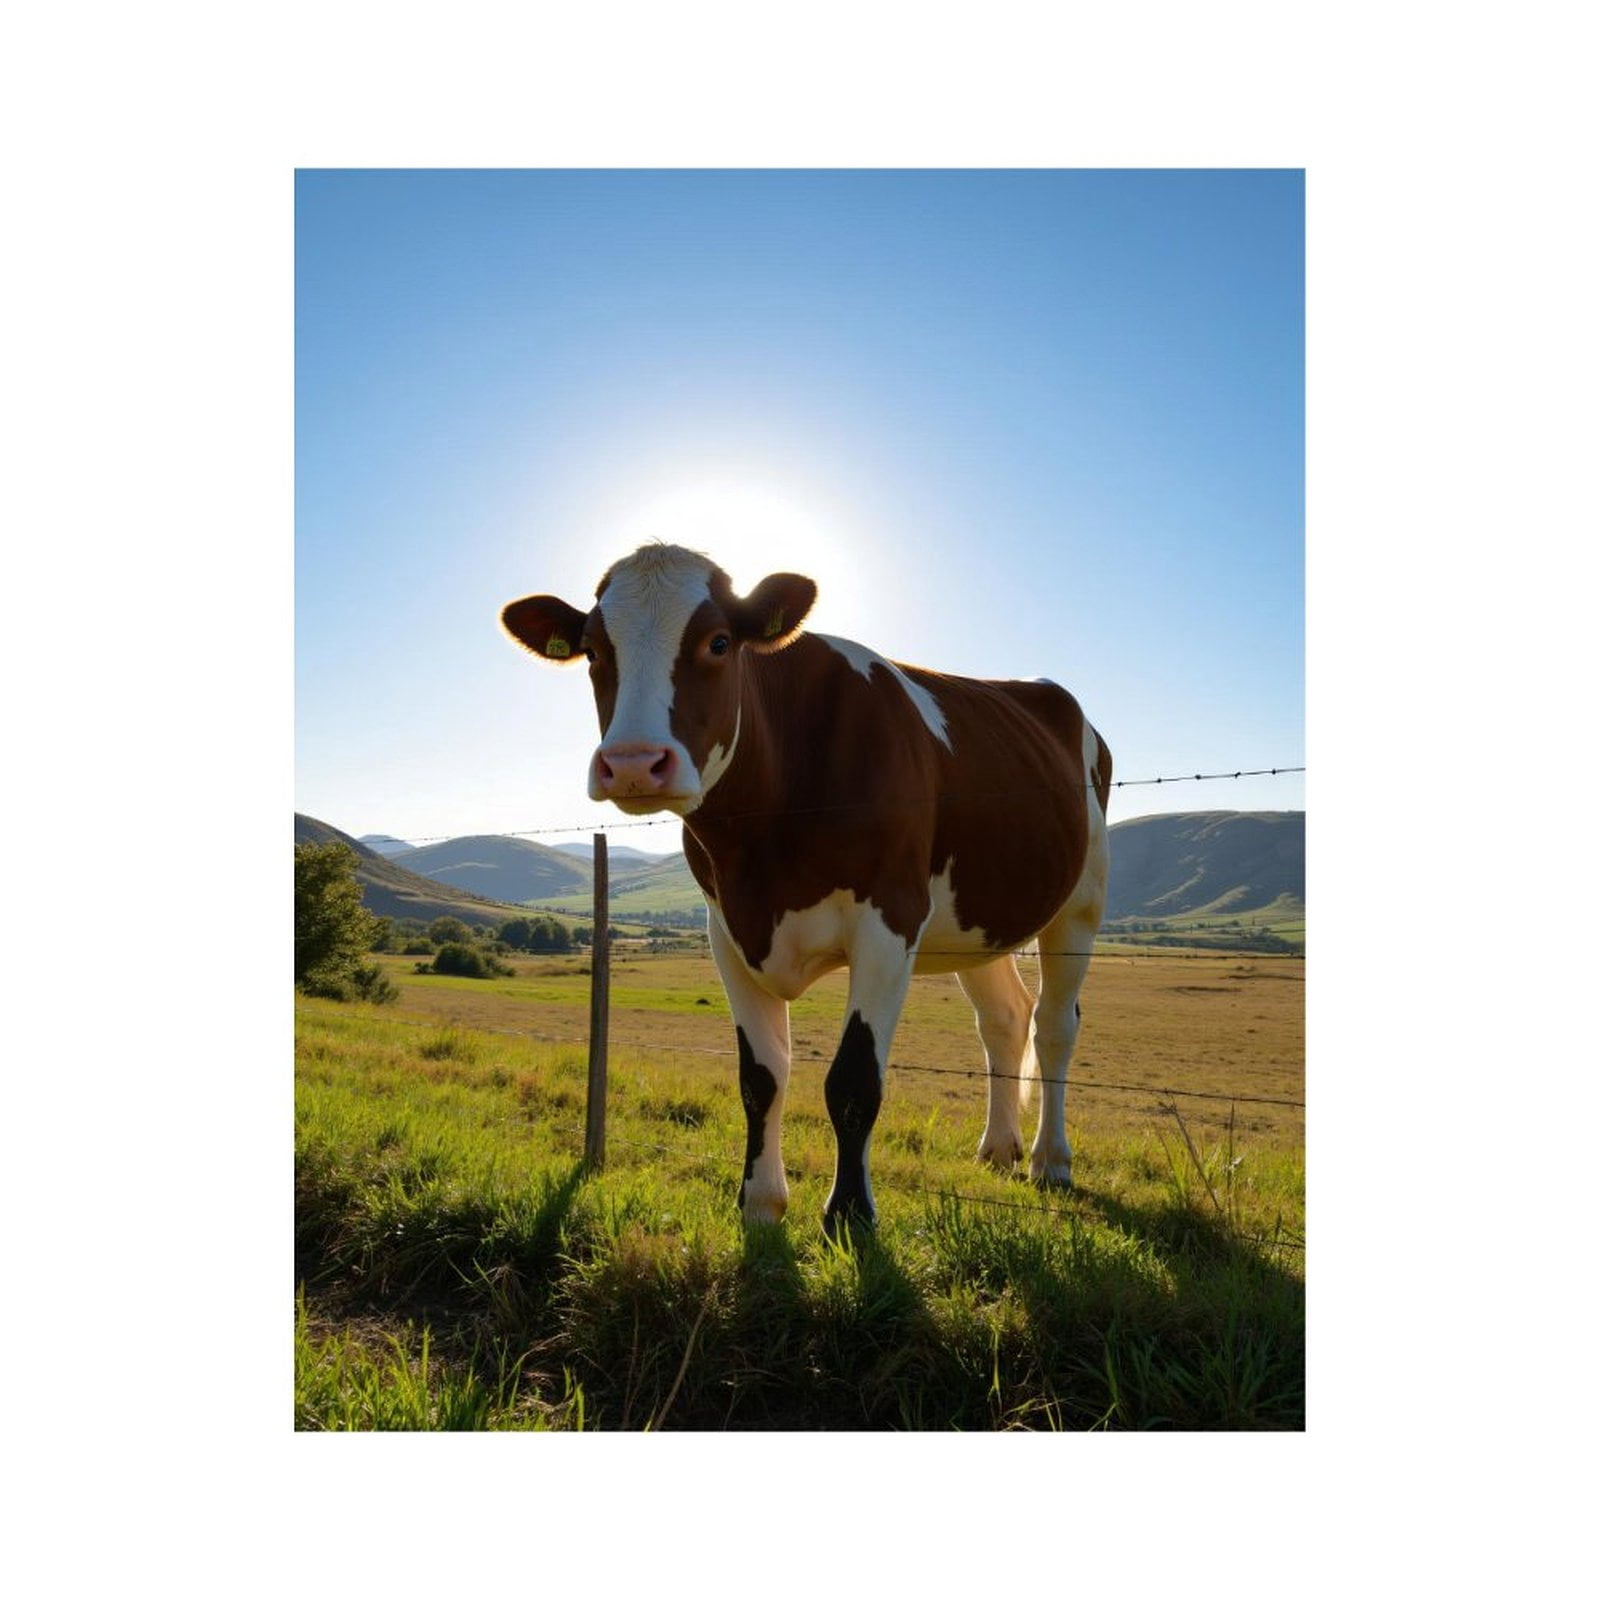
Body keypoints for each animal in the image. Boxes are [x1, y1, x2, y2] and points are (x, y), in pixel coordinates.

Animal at [502, 543, 1111, 1234]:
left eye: (718, 642)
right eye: (593, 651)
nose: (632, 764)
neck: (764, 839)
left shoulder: (890, 922)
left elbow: (853, 1081)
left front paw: (849, 1216)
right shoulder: (727, 929)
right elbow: (760, 1077)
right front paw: (761, 1204)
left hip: (1079, 903)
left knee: (1055, 1025)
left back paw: (1049, 1161)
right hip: (976, 915)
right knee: (1004, 1017)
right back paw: (998, 1149)